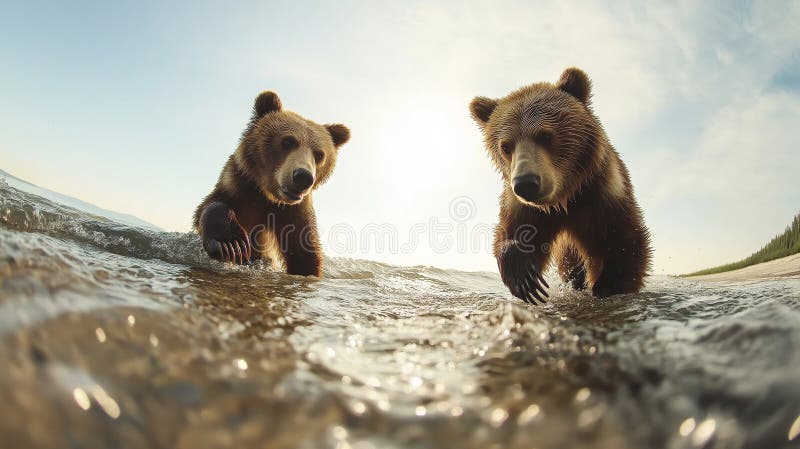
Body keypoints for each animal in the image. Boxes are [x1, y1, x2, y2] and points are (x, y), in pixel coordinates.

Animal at [193, 91, 350, 276]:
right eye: (288, 141)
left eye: (319, 155)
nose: (303, 177)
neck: (268, 196)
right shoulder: (238, 188)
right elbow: (210, 206)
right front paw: (231, 243)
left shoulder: (294, 213)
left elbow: (305, 254)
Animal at [469, 67, 651, 303]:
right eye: (506, 146)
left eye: (545, 135)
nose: (526, 183)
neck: (565, 197)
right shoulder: (527, 209)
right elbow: (514, 234)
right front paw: (525, 278)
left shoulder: (601, 196)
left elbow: (624, 241)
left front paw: (606, 286)